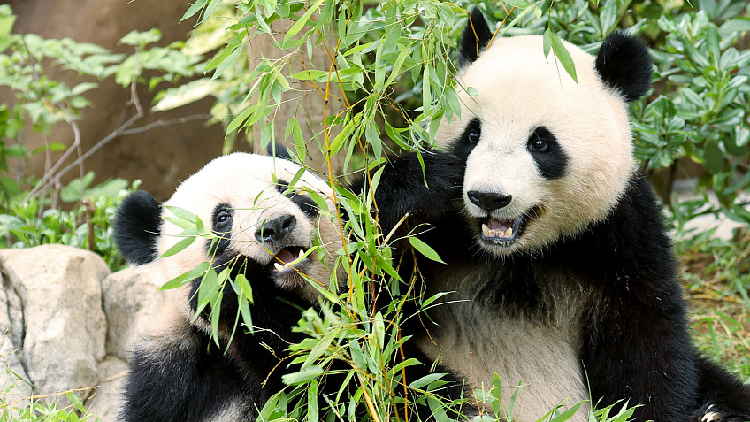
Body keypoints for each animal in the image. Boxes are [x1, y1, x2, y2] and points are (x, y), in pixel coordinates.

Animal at [377, 9, 750, 422]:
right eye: (472, 135)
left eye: (540, 142)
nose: (489, 197)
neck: (512, 255)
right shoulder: (431, 241)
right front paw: (423, 184)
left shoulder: (619, 233)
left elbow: (645, 346)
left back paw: (716, 412)